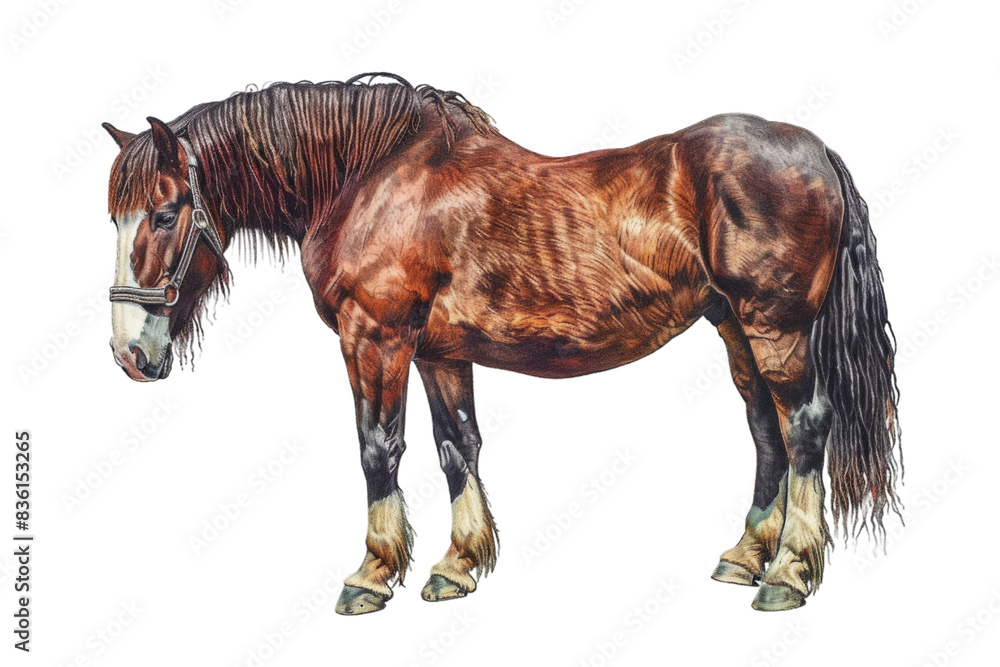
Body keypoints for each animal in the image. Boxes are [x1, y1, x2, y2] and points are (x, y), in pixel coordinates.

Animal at [102, 72, 901, 614]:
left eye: (166, 213)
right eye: (116, 216)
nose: (130, 354)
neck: (373, 180)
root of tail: (814, 150)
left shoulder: (377, 337)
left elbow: (378, 449)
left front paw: (372, 574)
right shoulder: (439, 352)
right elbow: (457, 445)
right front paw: (456, 565)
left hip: (775, 325)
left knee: (805, 427)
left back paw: (789, 573)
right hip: (733, 324)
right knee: (766, 430)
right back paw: (744, 557)